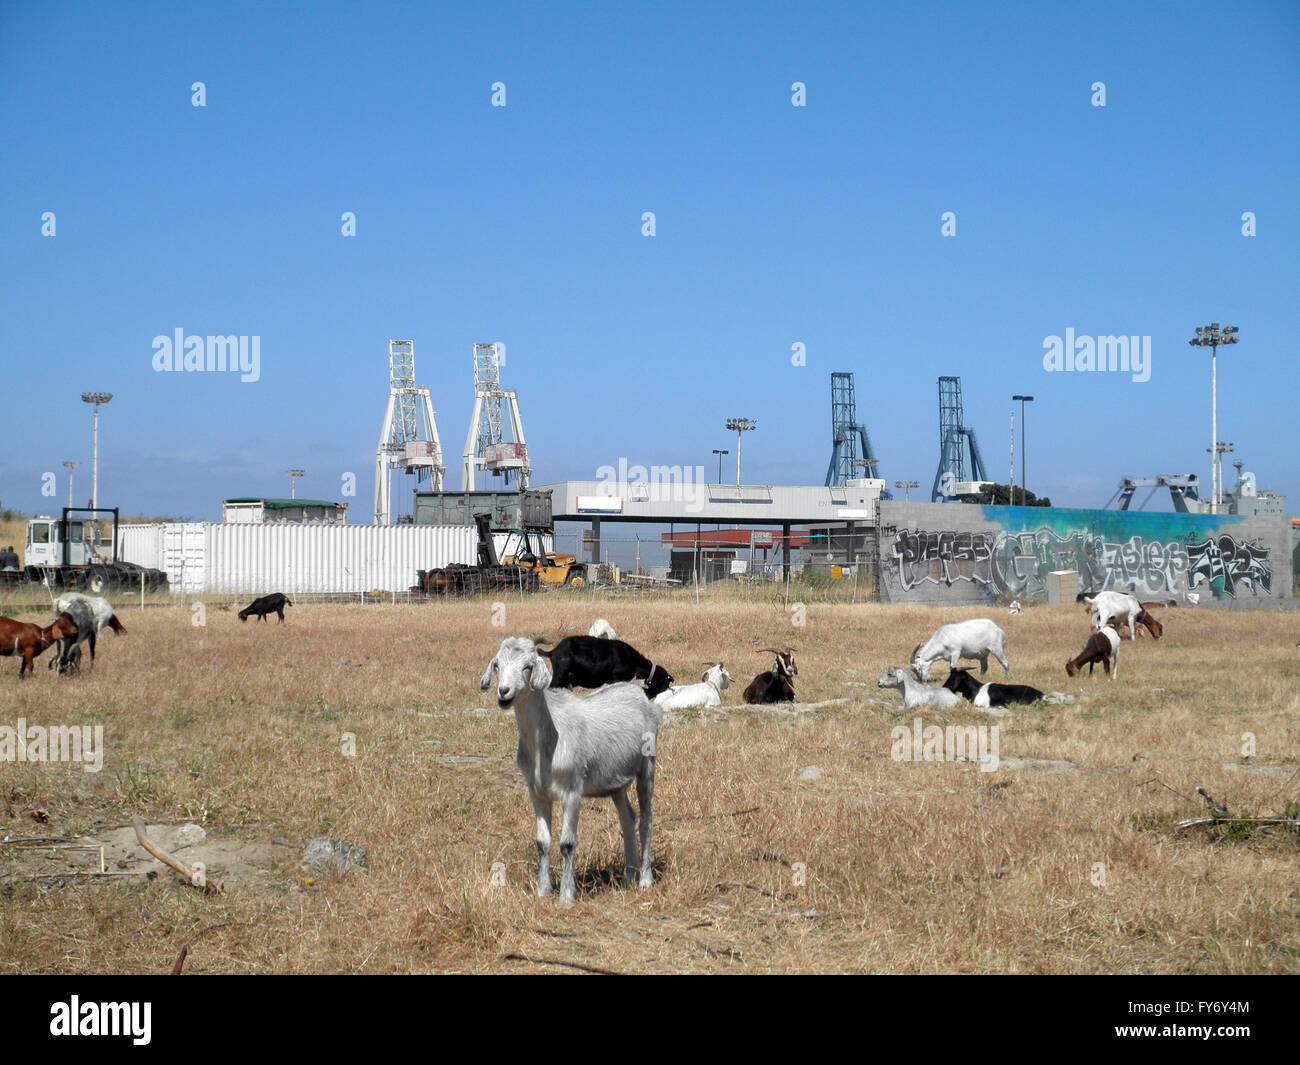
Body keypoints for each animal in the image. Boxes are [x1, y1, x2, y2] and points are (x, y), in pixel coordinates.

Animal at [481, 636, 661, 903]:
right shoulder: (537, 792)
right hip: (616, 780)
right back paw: (629, 875)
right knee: (627, 818)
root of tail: (637, 693)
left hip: (647, 766)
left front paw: (566, 897)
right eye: (497, 665)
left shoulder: (573, 790)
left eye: (527, 666)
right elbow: (542, 842)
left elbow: (567, 844)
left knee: (646, 820)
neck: (547, 736)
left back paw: (645, 880)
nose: (504, 692)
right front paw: (543, 891)